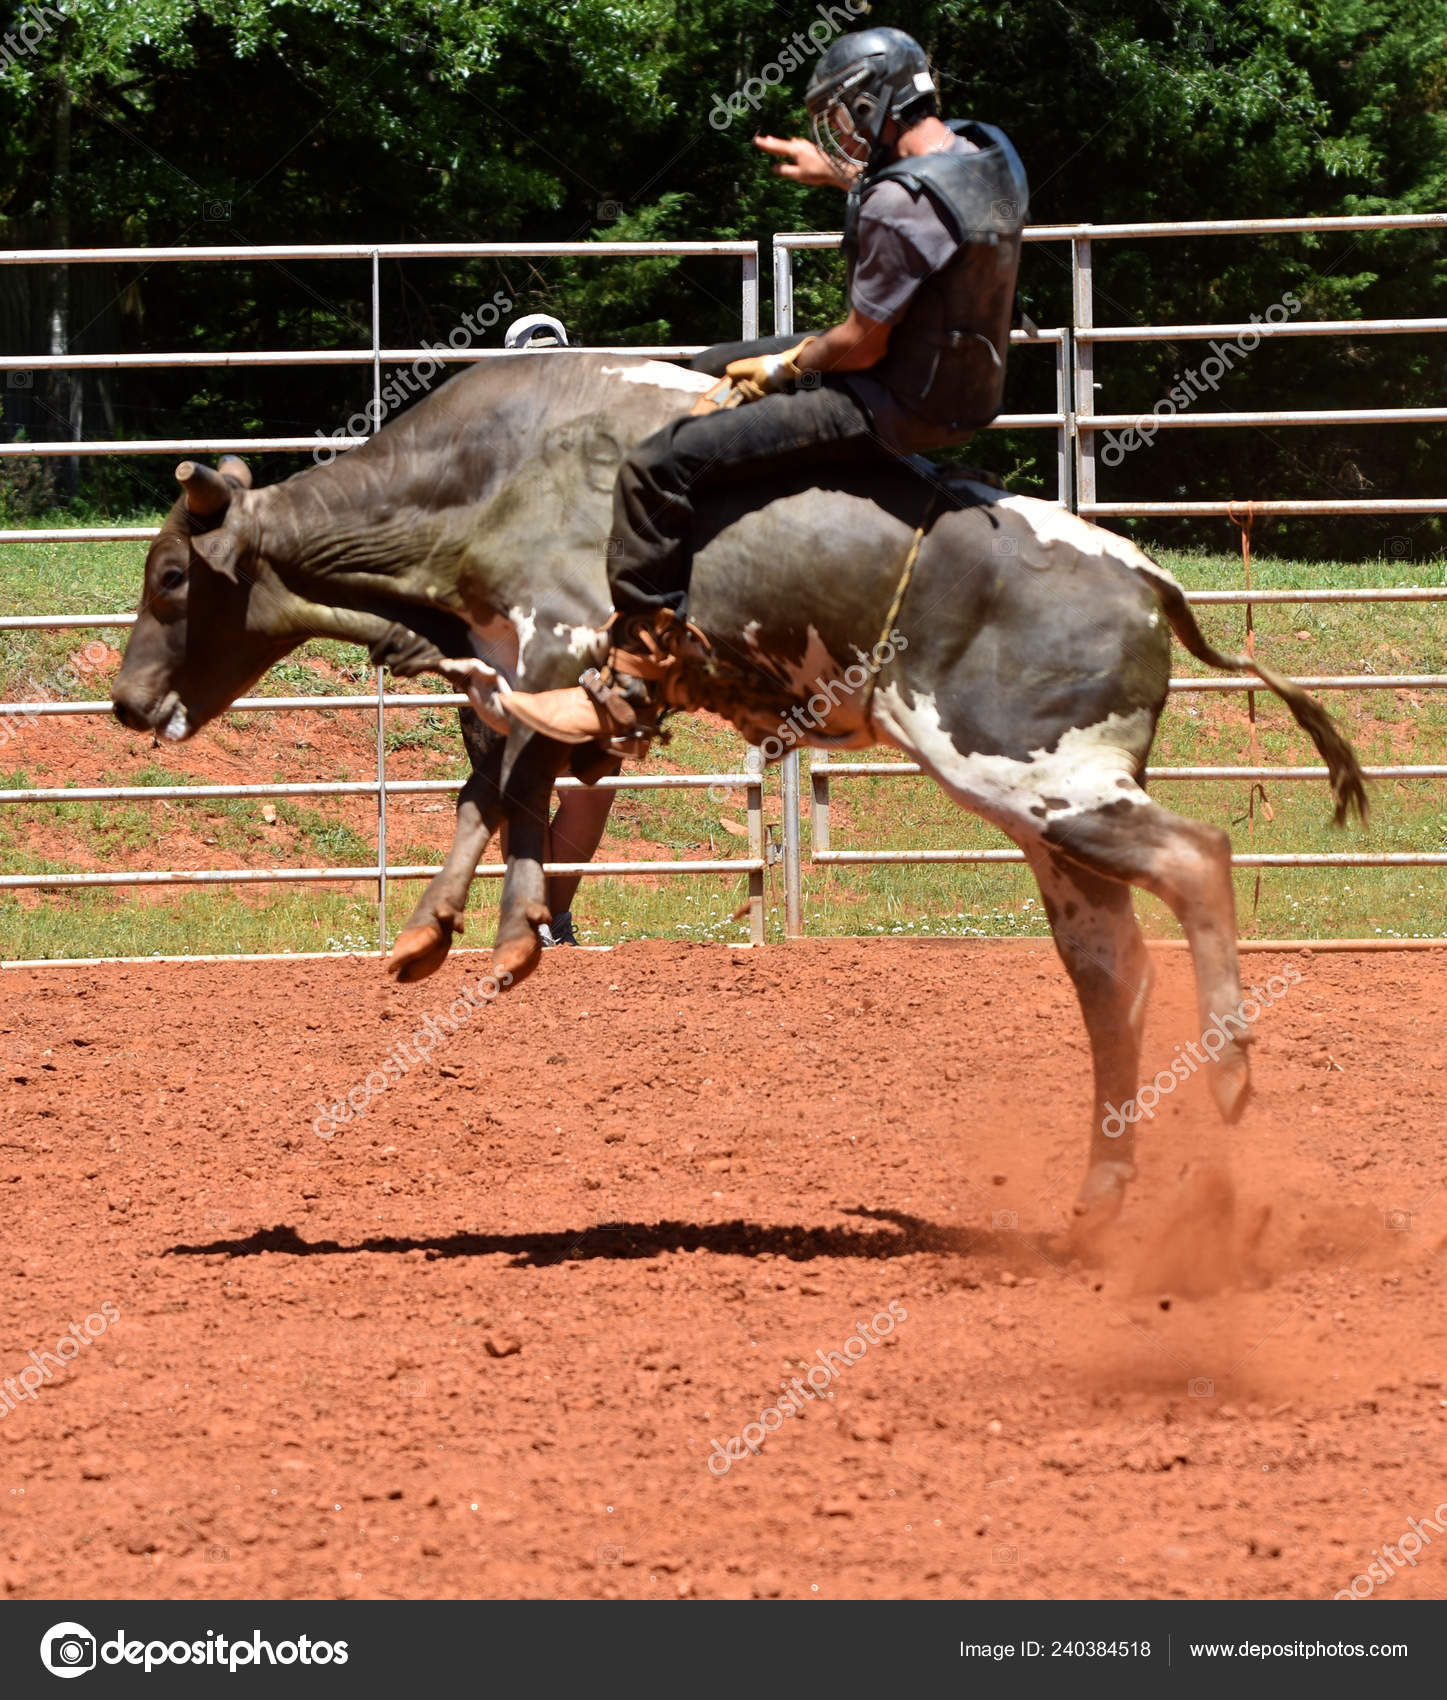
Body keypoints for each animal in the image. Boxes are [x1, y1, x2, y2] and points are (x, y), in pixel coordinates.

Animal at [112, 350, 1366, 1221]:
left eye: (171, 575)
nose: (126, 703)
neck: (482, 477)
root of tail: (1149, 579)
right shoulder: (510, 668)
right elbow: (492, 788)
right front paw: (438, 934)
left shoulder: (561, 639)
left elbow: (520, 784)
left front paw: (509, 936)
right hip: (1045, 817)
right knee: (1113, 977)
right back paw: (1102, 1192)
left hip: (1039, 778)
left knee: (1198, 857)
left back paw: (1230, 1072)